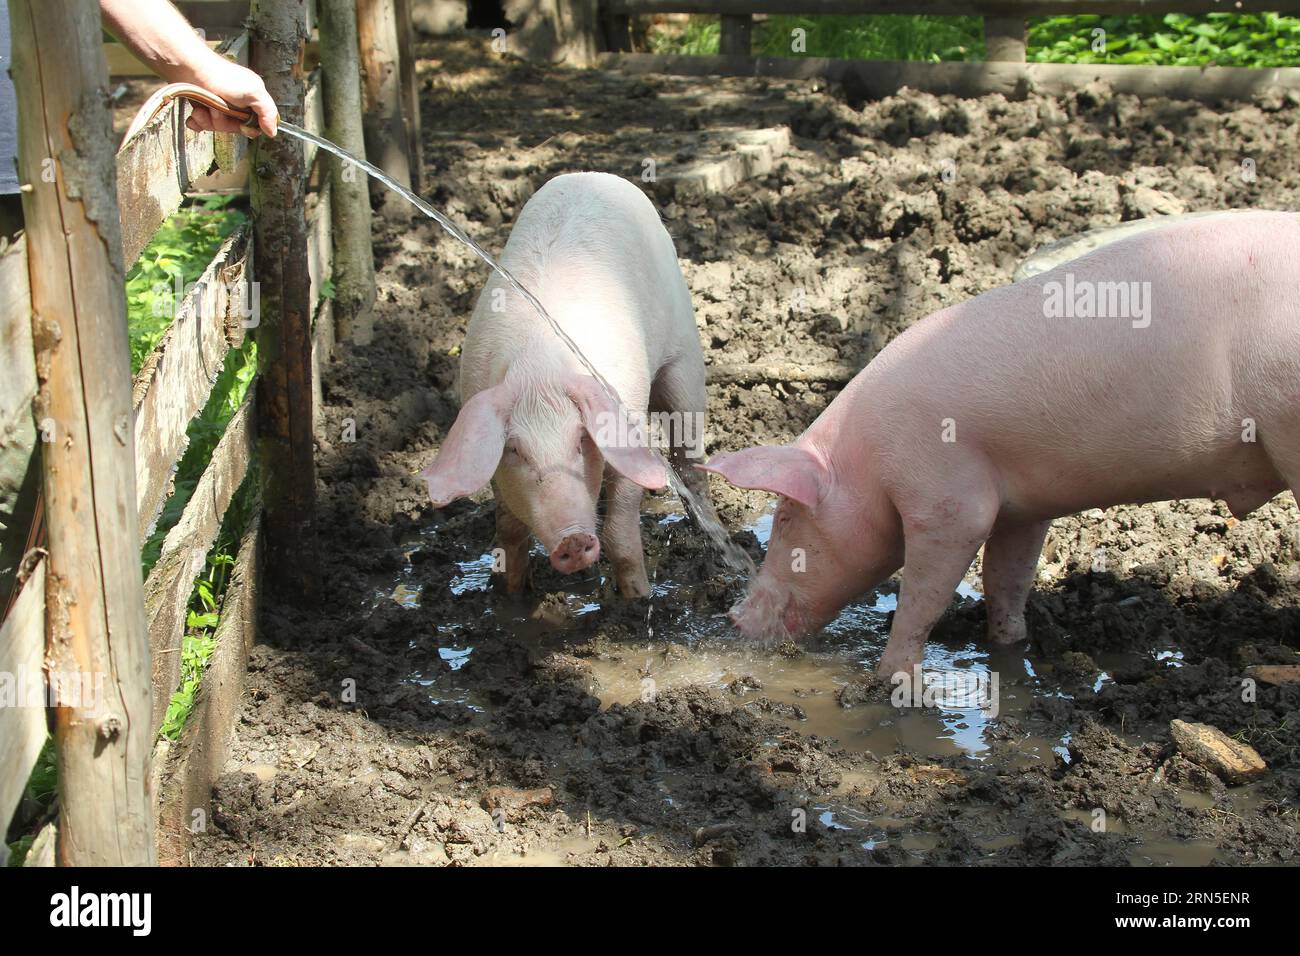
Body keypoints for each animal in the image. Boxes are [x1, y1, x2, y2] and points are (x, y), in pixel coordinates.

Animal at [419, 172, 712, 597]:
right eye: (514, 450)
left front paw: (639, 599)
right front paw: (511, 595)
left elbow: (621, 528)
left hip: (685, 352)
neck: (538, 371)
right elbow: (509, 532)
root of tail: (592, 175)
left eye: (580, 439)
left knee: (689, 450)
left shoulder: (628, 415)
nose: (572, 539)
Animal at [700, 210, 1300, 676]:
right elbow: (1007, 578)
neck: (866, 458)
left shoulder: (948, 501)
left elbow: (923, 593)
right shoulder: (1022, 504)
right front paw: (1011, 650)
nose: (732, 618)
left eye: (786, 519)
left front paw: (890, 680)